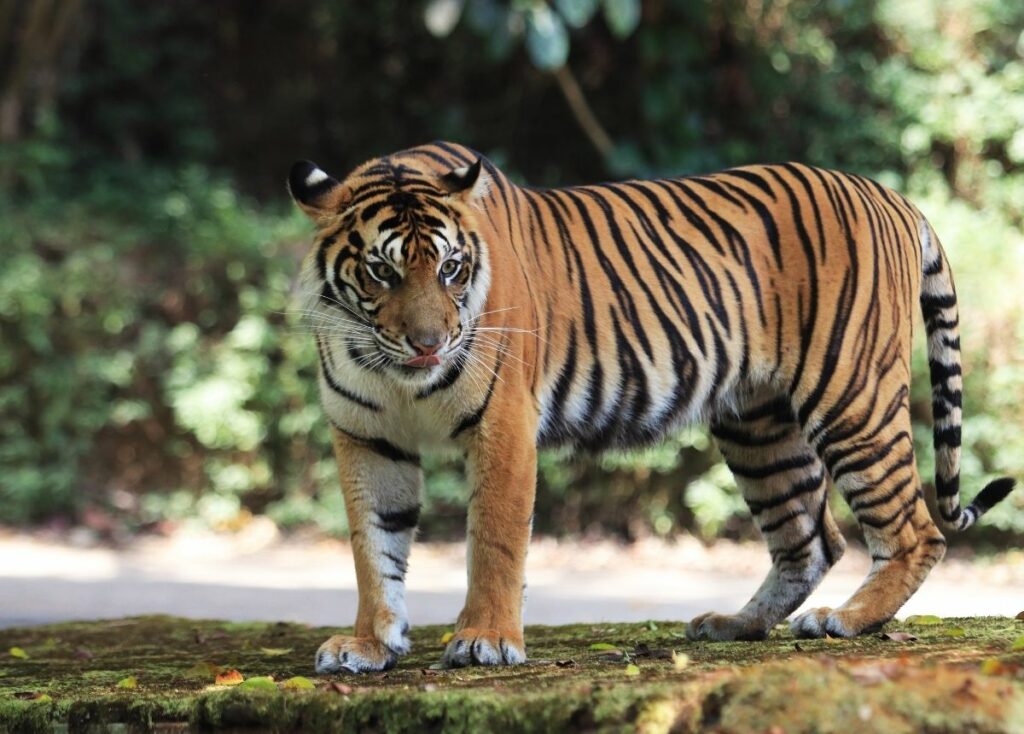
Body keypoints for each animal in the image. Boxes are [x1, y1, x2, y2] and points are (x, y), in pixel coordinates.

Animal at [287, 141, 1017, 674]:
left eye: (451, 269)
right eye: (382, 272)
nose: (430, 344)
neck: (395, 374)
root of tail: (891, 196)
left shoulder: (503, 425)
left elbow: (493, 539)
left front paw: (486, 640)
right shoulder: (366, 437)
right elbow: (373, 546)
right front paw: (368, 644)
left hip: (851, 397)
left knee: (913, 529)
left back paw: (845, 620)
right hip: (758, 425)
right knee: (809, 538)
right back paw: (735, 624)